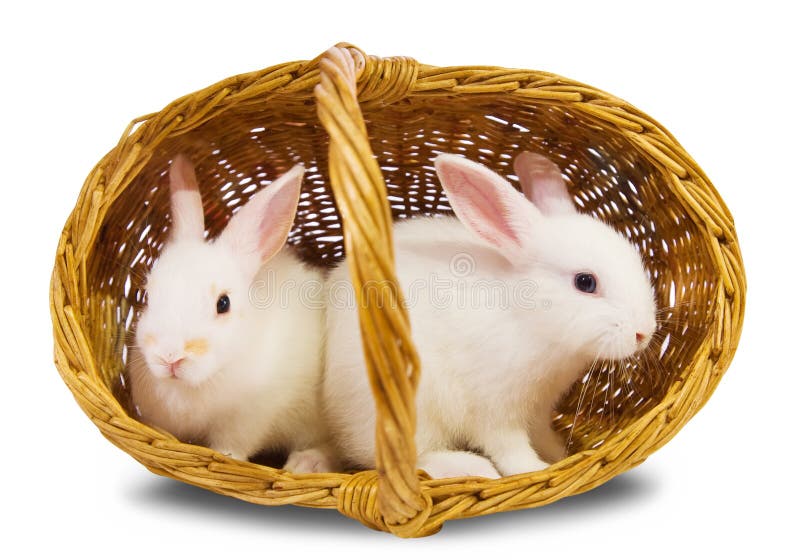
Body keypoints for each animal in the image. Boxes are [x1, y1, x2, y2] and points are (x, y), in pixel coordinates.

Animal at [128, 155, 334, 473]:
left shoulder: (247, 421)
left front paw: (227, 459)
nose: (170, 357)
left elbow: (232, 446)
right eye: (148, 296)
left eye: (223, 303)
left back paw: (306, 464)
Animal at [322, 152, 657, 479]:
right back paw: (472, 467)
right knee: (406, 460)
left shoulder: (538, 411)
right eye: (585, 282)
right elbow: (509, 450)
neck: (529, 318)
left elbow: (542, 434)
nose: (644, 333)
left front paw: (559, 453)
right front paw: (534, 469)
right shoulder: (495, 411)